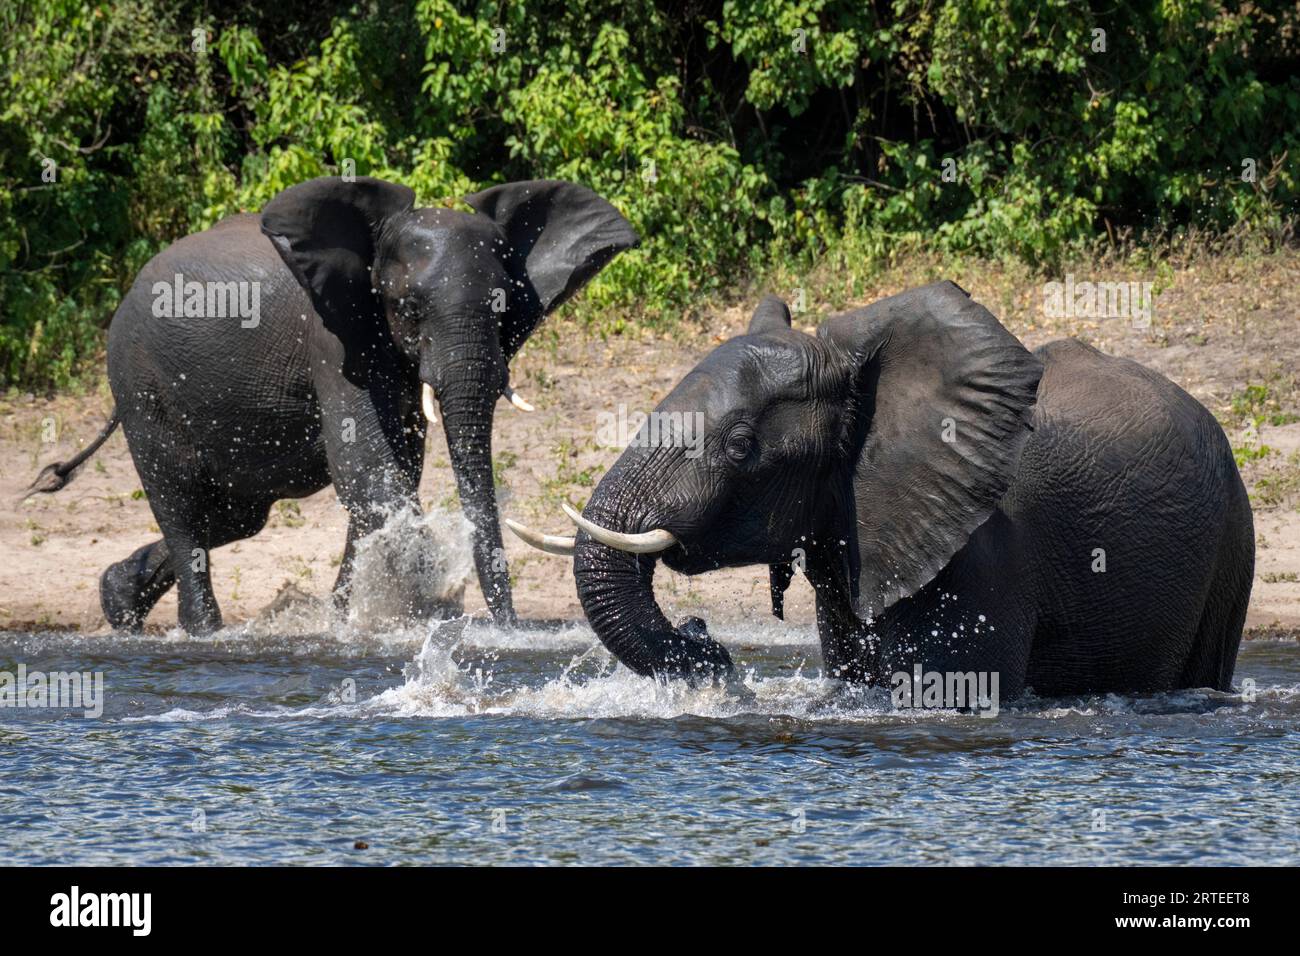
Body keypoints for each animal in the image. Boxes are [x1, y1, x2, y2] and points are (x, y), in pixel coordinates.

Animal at [29, 176, 638, 633]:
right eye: (408, 309)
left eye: (504, 305)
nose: (507, 625)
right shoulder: (331, 339)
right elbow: (369, 471)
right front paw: (410, 613)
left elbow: (397, 470)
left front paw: (346, 620)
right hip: (140, 383)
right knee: (182, 504)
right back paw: (203, 632)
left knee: (232, 516)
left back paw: (117, 601)